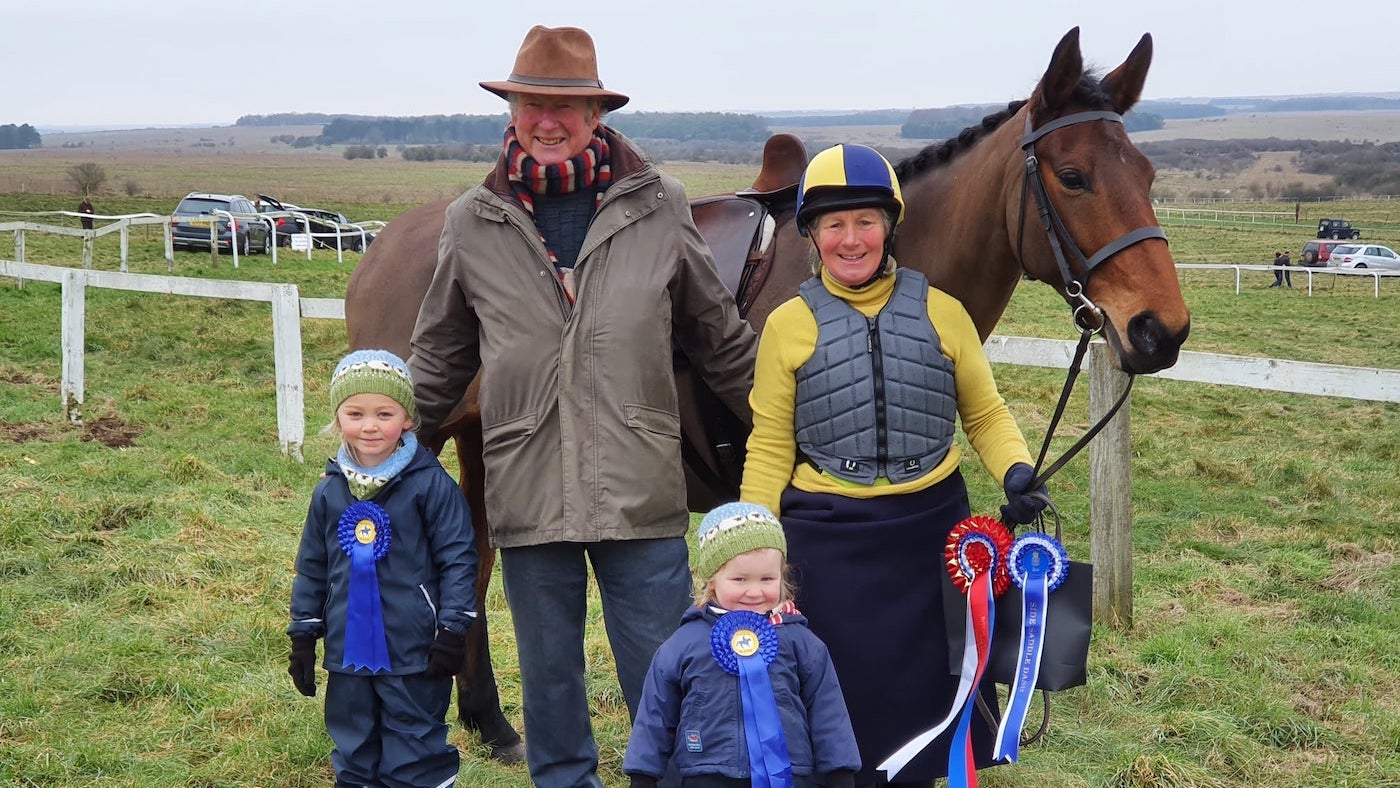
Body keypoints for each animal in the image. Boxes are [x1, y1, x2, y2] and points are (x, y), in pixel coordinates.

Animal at [343, 26, 1189, 761]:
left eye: (1149, 177)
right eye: (1074, 177)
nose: (1160, 329)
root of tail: (382, 246)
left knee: (479, 558)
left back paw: (490, 721)